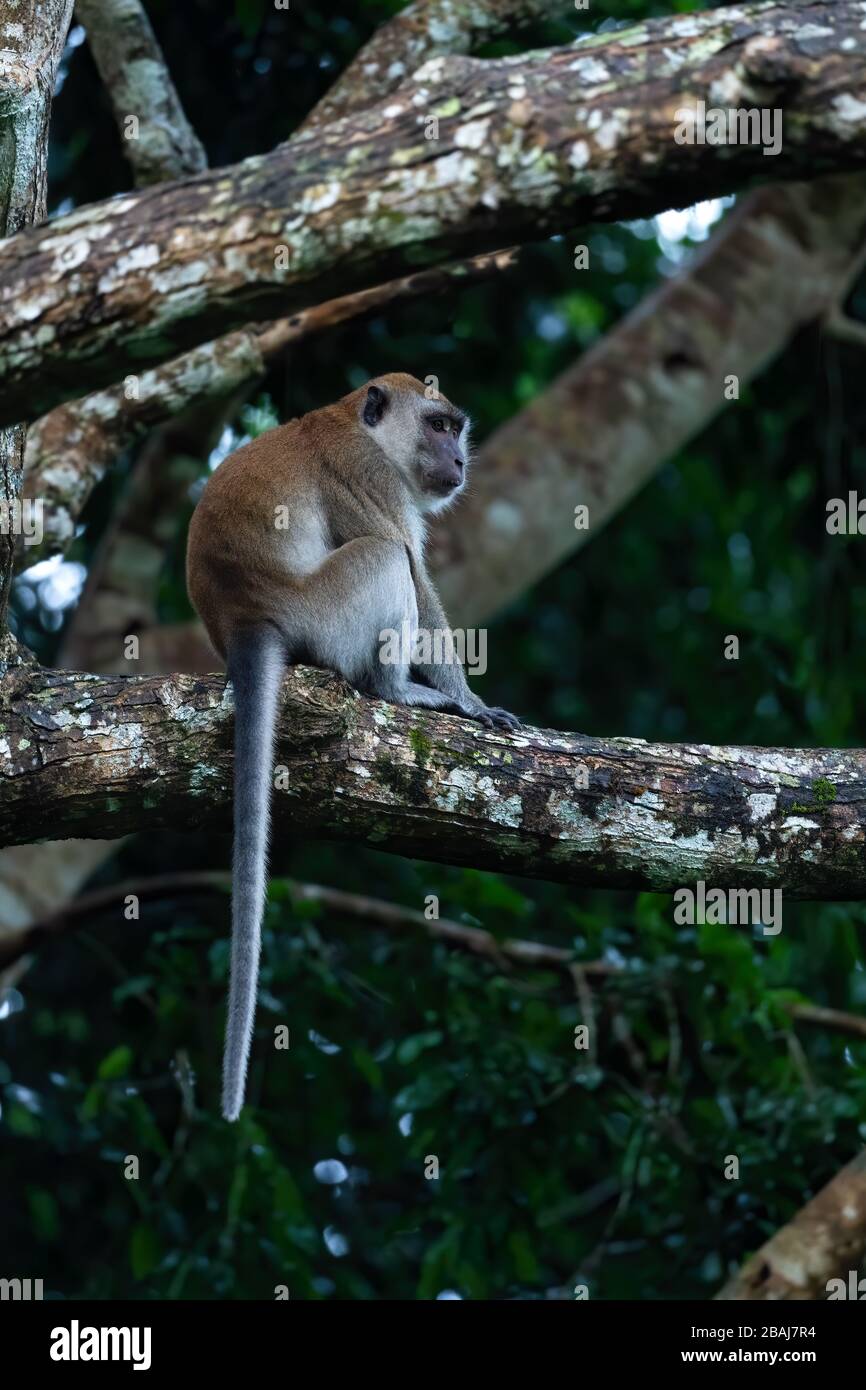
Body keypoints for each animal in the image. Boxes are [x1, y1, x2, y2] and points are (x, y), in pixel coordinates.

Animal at [186, 373, 520, 1121]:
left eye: (457, 429)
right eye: (437, 426)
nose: (459, 462)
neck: (352, 423)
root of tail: (245, 619)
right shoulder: (366, 476)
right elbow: (412, 570)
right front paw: (471, 699)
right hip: (326, 614)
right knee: (384, 558)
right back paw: (398, 689)